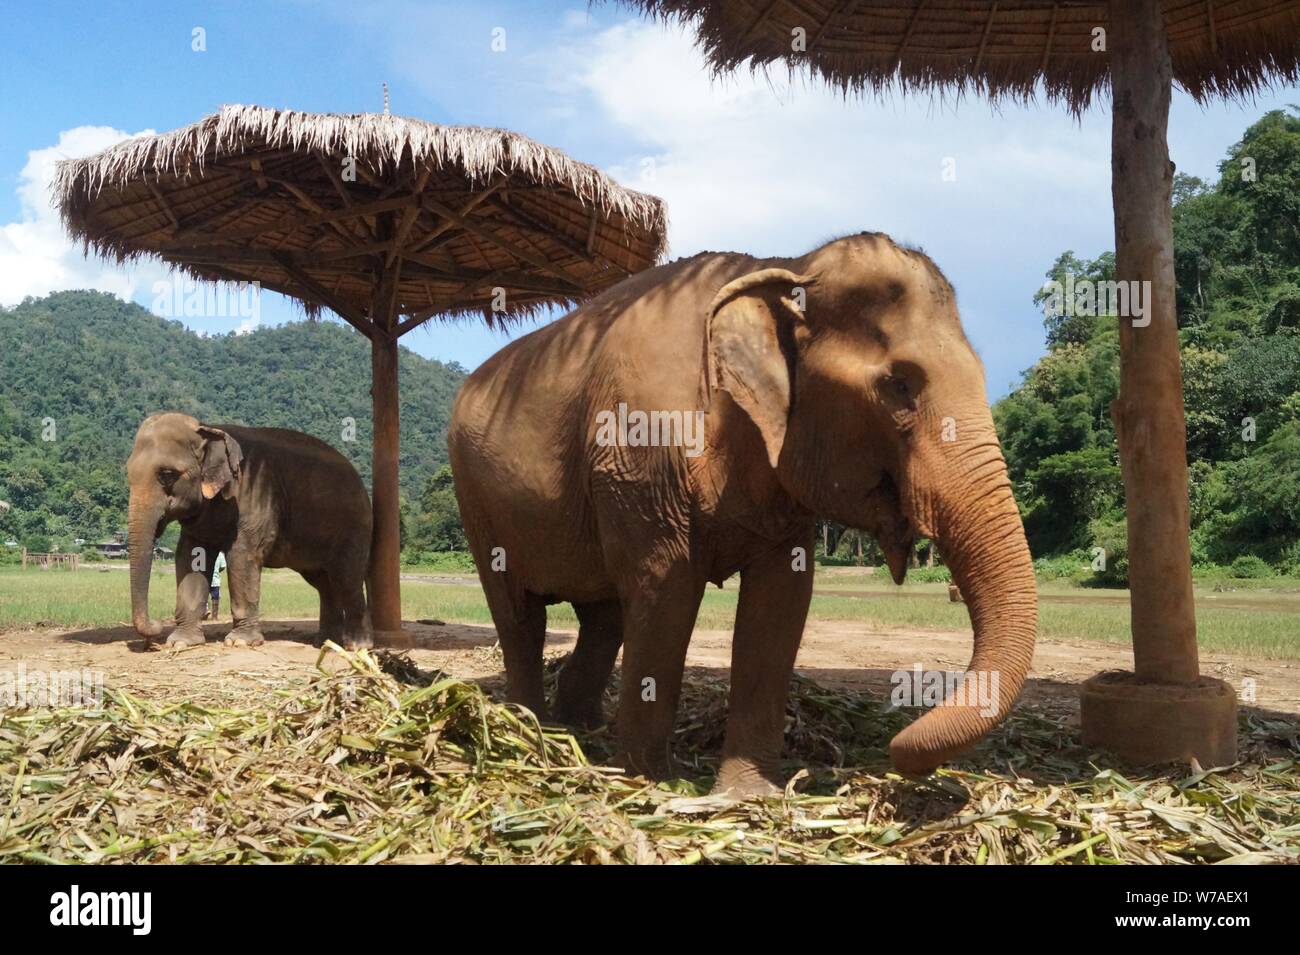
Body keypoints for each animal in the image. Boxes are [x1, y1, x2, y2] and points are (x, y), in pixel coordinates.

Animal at [126, 412, 373, 649]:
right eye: (128, 473)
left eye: (167, 474)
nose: (153, 636)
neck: (208, 427)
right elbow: (191, 557)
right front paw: (181, 642)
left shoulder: (252, 499)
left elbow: (242, 555)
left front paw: (240, 642)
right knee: (324, 584)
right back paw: (325, 642)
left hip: (355, 526)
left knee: (347, 578)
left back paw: (357, 645)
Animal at [448, 232, 1037, 793]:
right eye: (899, 385)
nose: (895, 749)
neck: (788, 265)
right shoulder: (640, 453)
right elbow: (666, 587)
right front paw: (652, 783)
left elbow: (780, 600)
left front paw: (748, 793)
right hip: (475, 497)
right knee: (520, 614)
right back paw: (531, 734)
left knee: (604, 616)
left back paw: (579, 732)